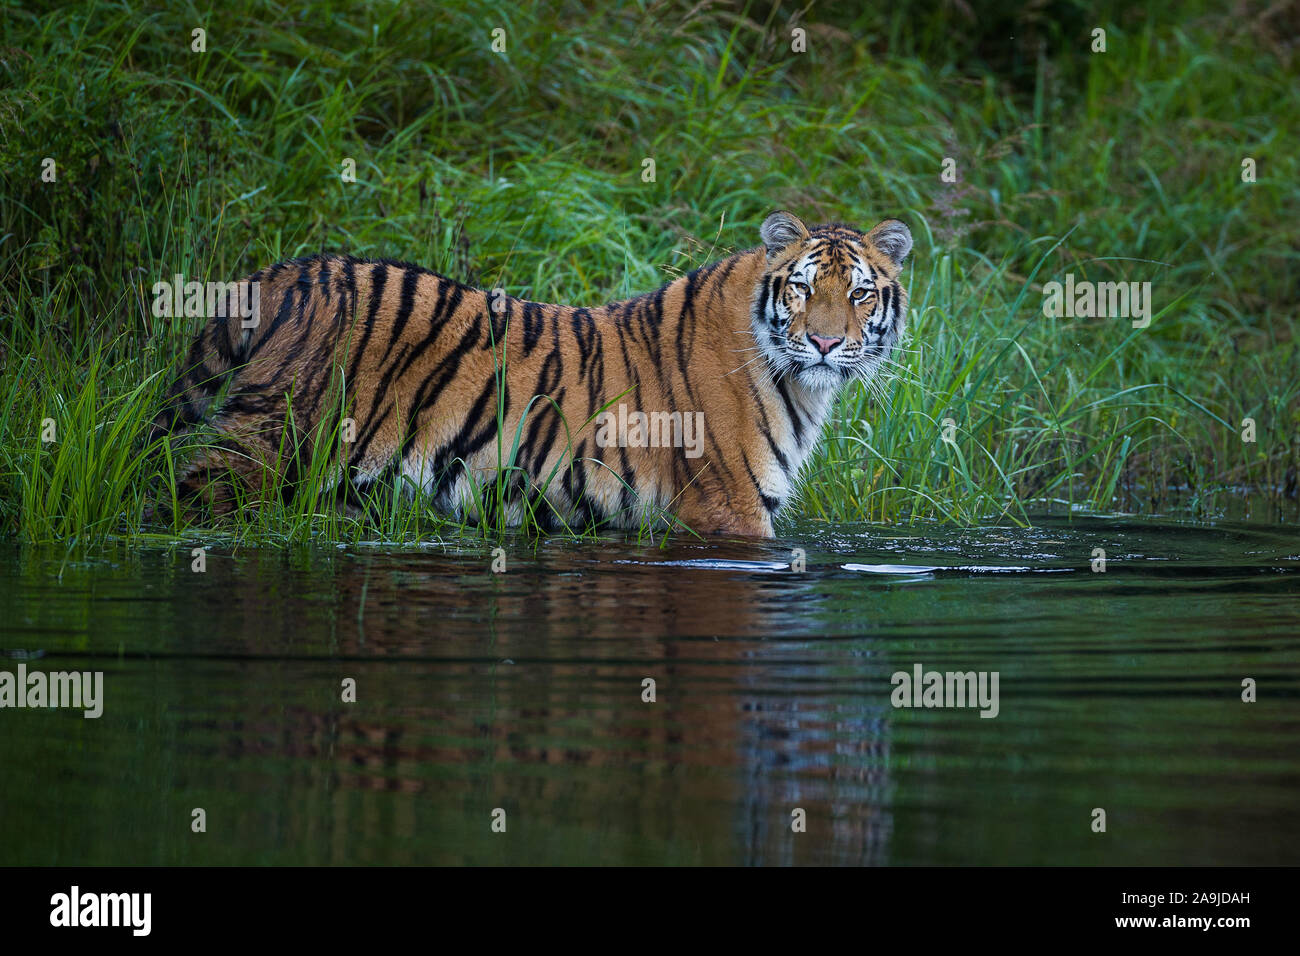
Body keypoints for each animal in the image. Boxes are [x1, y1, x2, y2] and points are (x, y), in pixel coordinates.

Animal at [151, 211, 912, 537]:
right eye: (802, 288)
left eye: (860, 294)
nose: (823, 341)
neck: (800, 385)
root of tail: (281, 273)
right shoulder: (728, 512)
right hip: (261, 444)